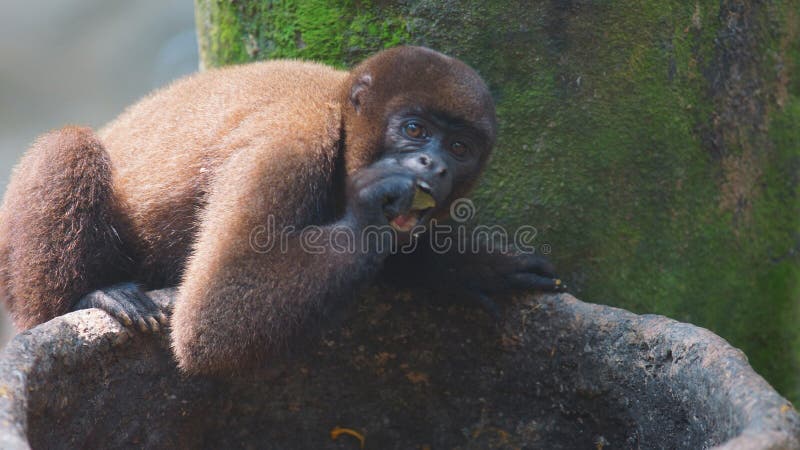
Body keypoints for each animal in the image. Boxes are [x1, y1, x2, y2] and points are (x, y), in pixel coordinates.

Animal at [0, 46, 562, 374]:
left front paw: (466, 267)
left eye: (460, 148)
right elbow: (212, 320)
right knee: (68, 148)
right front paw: (369, 211)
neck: (342, 117)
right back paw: (90, 297)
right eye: (415, 130)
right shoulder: (288, 149)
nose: (434, 163)